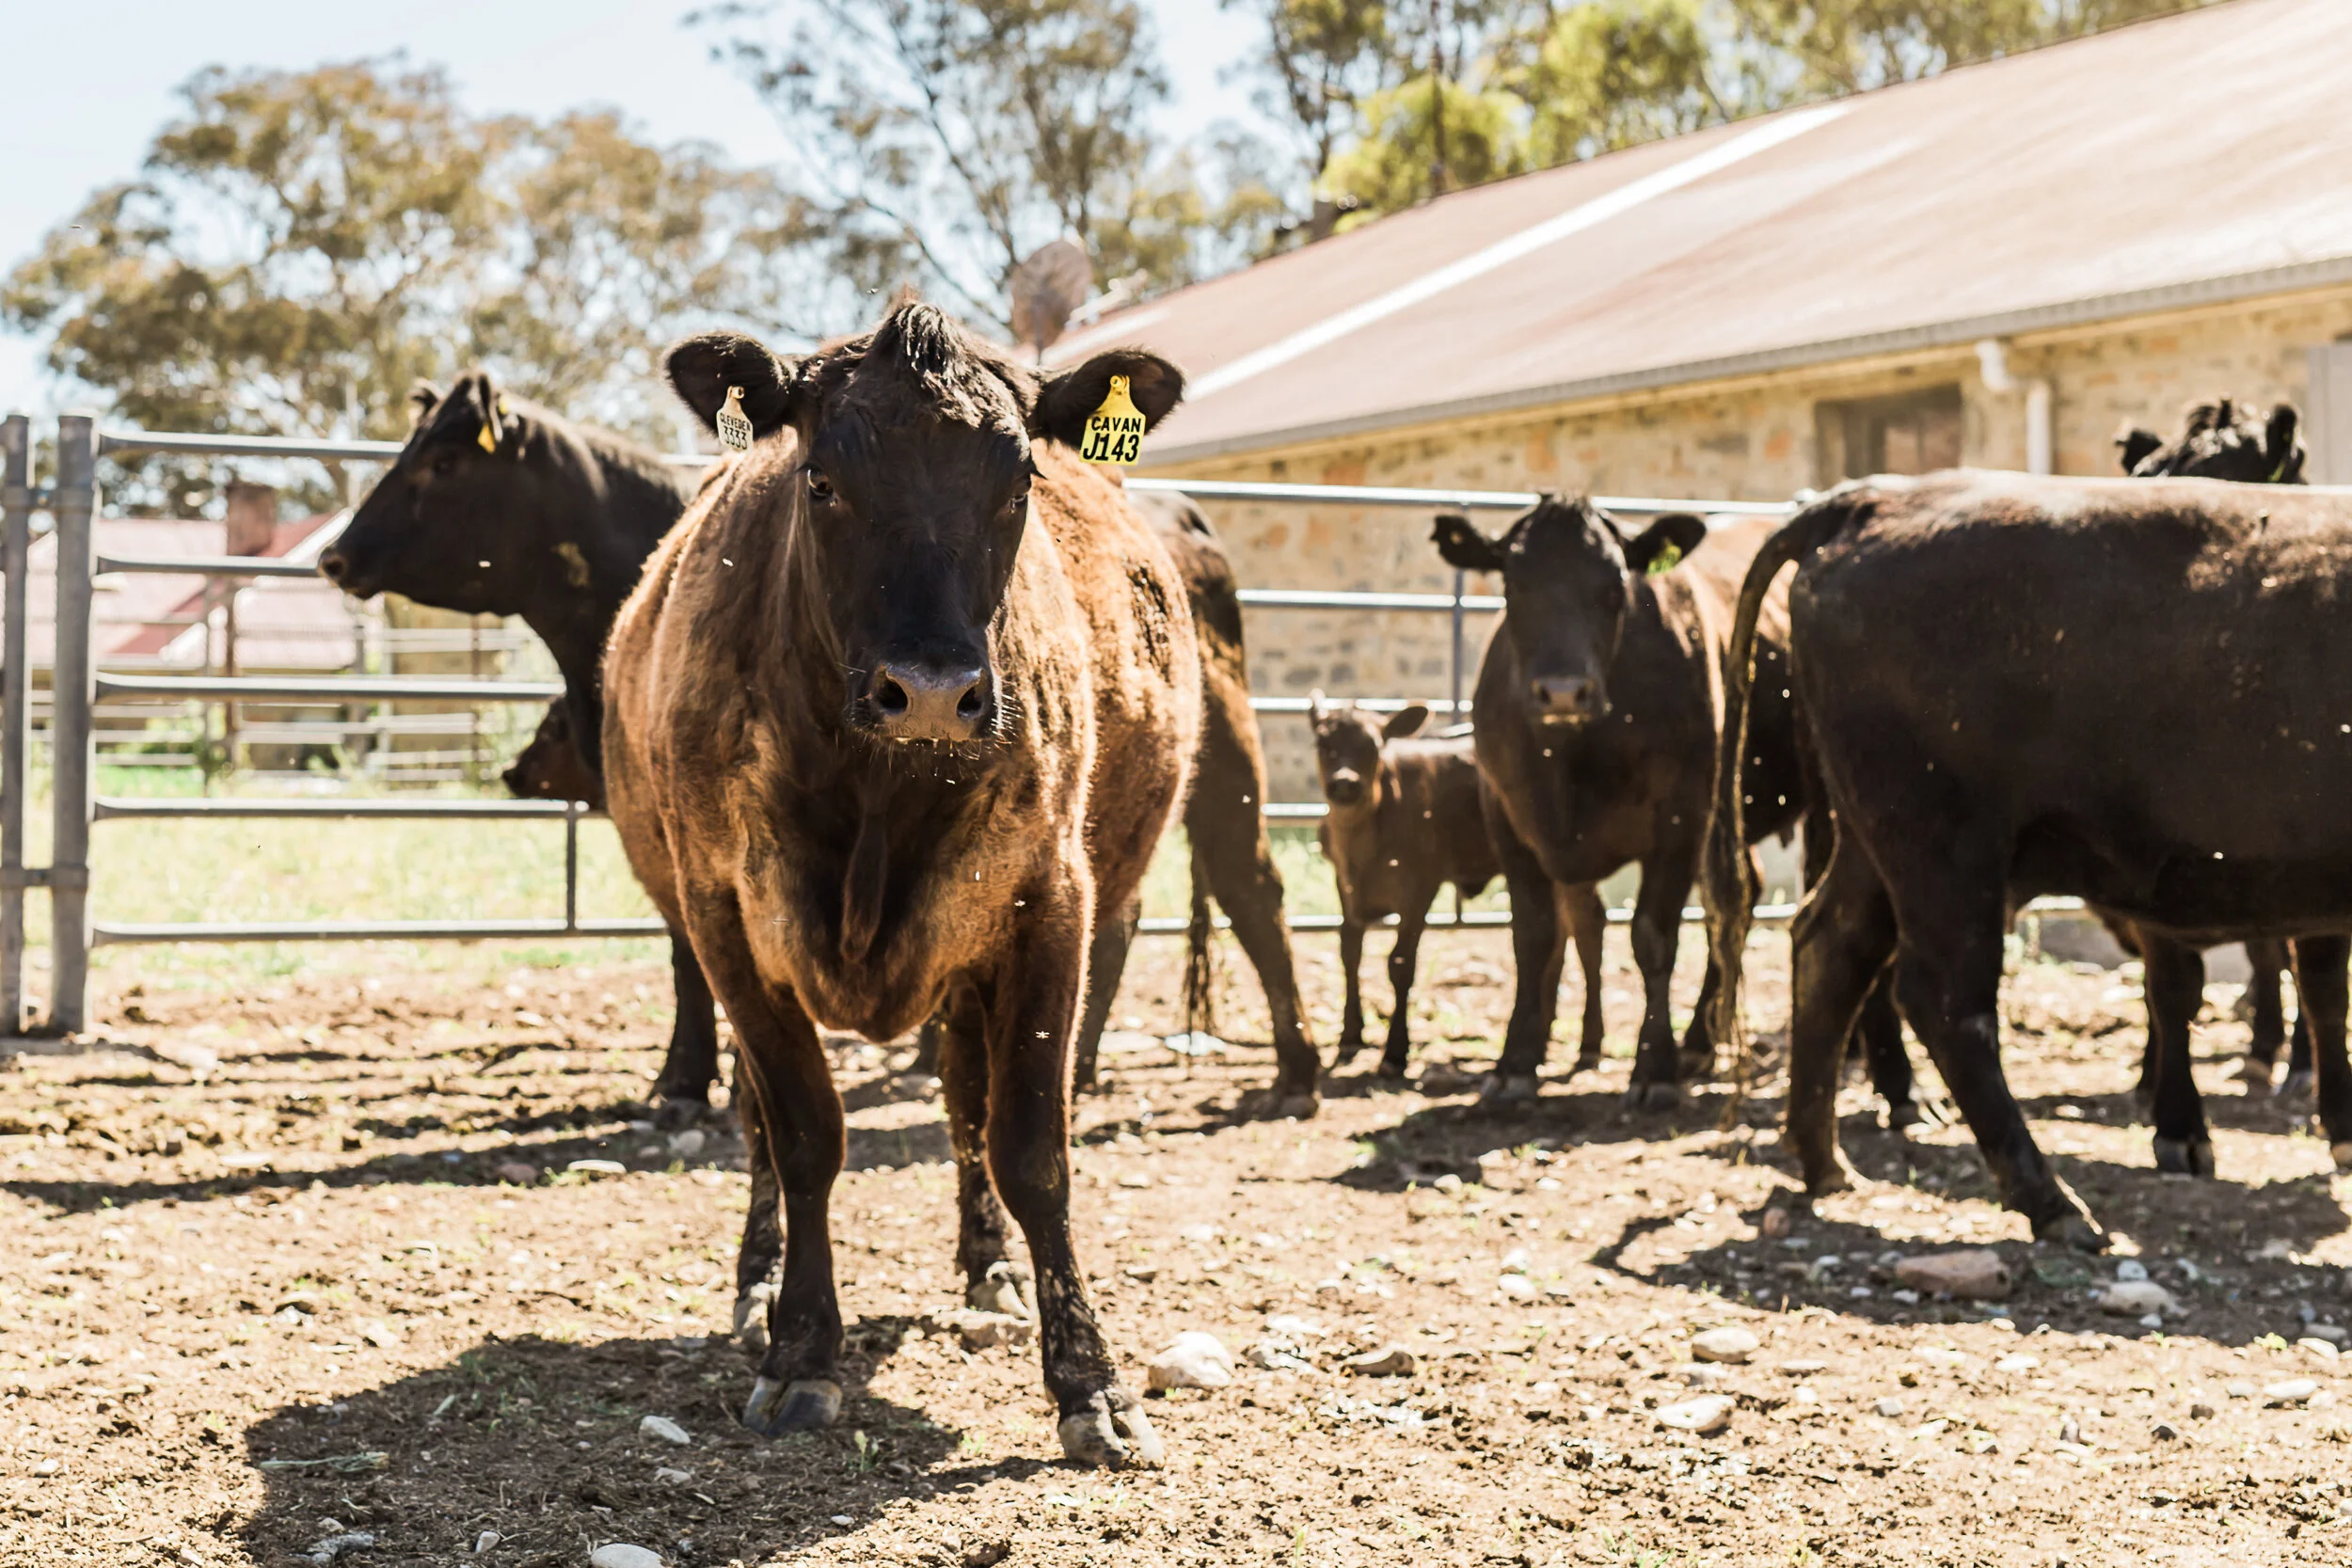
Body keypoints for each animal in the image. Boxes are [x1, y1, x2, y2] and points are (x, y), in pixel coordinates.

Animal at [607, 304, 1193, 1465]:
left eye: (1018, 480)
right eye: (822, 479)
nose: (929, 690)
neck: (878, 790)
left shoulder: (1049, 905)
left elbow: (1029, 1147)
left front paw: (1091, 1380)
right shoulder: (727, 920)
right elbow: (800, 1133)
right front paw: (800, 1349)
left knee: (965, 1100)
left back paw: (990, 1268)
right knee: (758, 1124)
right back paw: (758, 1283)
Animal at [1308, 694, 1605, 1079]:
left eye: (1373, 744)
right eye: (1322, 743)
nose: (1345, 783)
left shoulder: (1420, 886)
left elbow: (1400, 963)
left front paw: (1395, 1052)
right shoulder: (1345, 887)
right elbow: (1349, 953)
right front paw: (1350, 1036)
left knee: (1588, 929)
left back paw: (1590, 1044)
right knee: (1561, 930)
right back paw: (1540, 1038)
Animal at [1433, 498, 1915, 1117]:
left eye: (1614, 585)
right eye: (1513, 585)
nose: (1563, 691)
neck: (1572, 754)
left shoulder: (1682, 817)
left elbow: (1653, 937)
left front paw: (1653, 1068)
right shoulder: (1507, 817)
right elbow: (1533, 938)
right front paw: (1514, 1063)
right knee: (1742, 902)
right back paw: (1705, 1041)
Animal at [1706, 468, 2352, 1251]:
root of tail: (1875, 499)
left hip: (1882, 849)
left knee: (1830, 949)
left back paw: (1826, 1165)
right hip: (1948, 855)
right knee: (1945, 1001)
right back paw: (2055, 1204)